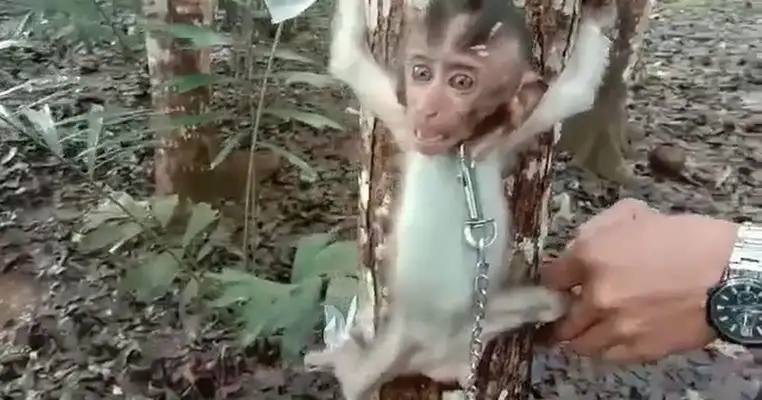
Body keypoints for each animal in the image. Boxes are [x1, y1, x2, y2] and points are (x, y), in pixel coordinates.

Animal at [304, 0, 617, 398]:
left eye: (461, 82)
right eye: (421, 73)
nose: (428, 107)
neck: (459, 153)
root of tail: (435, 360)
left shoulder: (509, 135)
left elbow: (577, 91)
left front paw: (602, 14)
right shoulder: (405, 122)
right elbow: (348, 61)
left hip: (476, 324)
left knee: (550, 303)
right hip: (402, 340)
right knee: (358, 383)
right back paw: (348, 366)